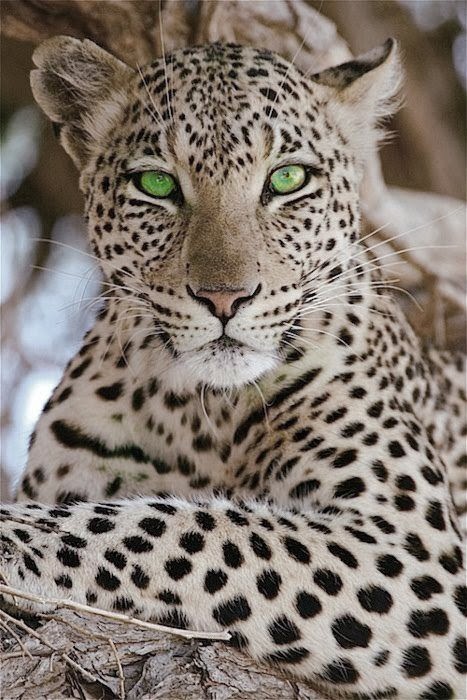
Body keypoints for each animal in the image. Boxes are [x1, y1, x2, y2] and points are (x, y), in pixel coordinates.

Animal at [1, 35, 466, 699]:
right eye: (157, 184)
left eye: (288, 178)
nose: (225, 299)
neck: (197, 413)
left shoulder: (412, 551)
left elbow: (183, 529)